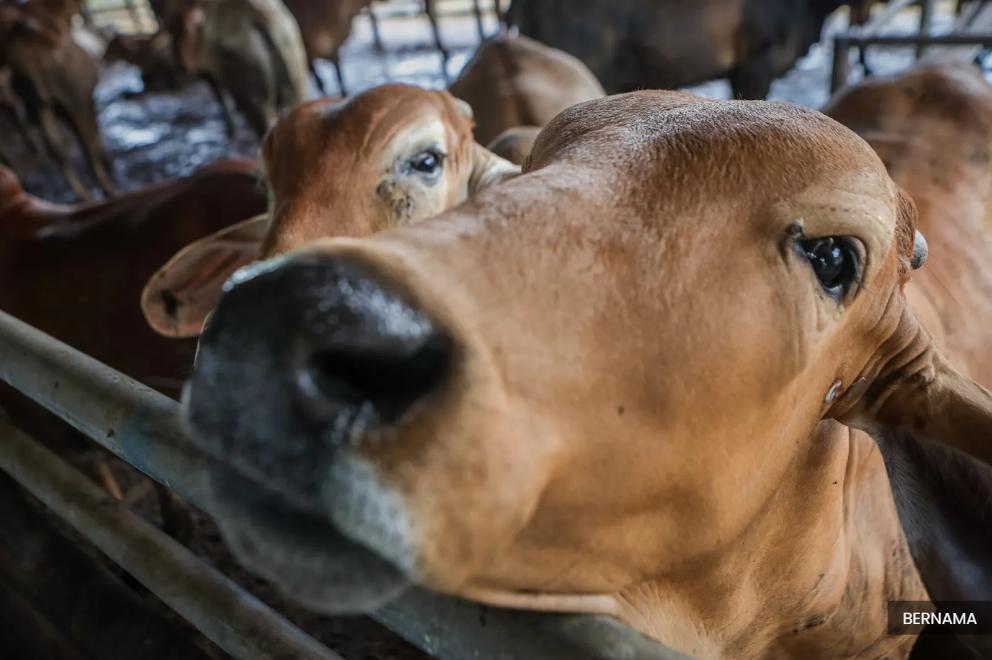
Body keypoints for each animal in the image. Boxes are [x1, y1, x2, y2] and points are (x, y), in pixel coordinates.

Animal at [0, 6, 115, 200]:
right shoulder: (82, 101)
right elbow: (92, 132)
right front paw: (107, 160)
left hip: (39, 106)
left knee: (56, 149)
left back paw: (84, 195)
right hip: (70, 103)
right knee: (85, 145)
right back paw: (107, 188)